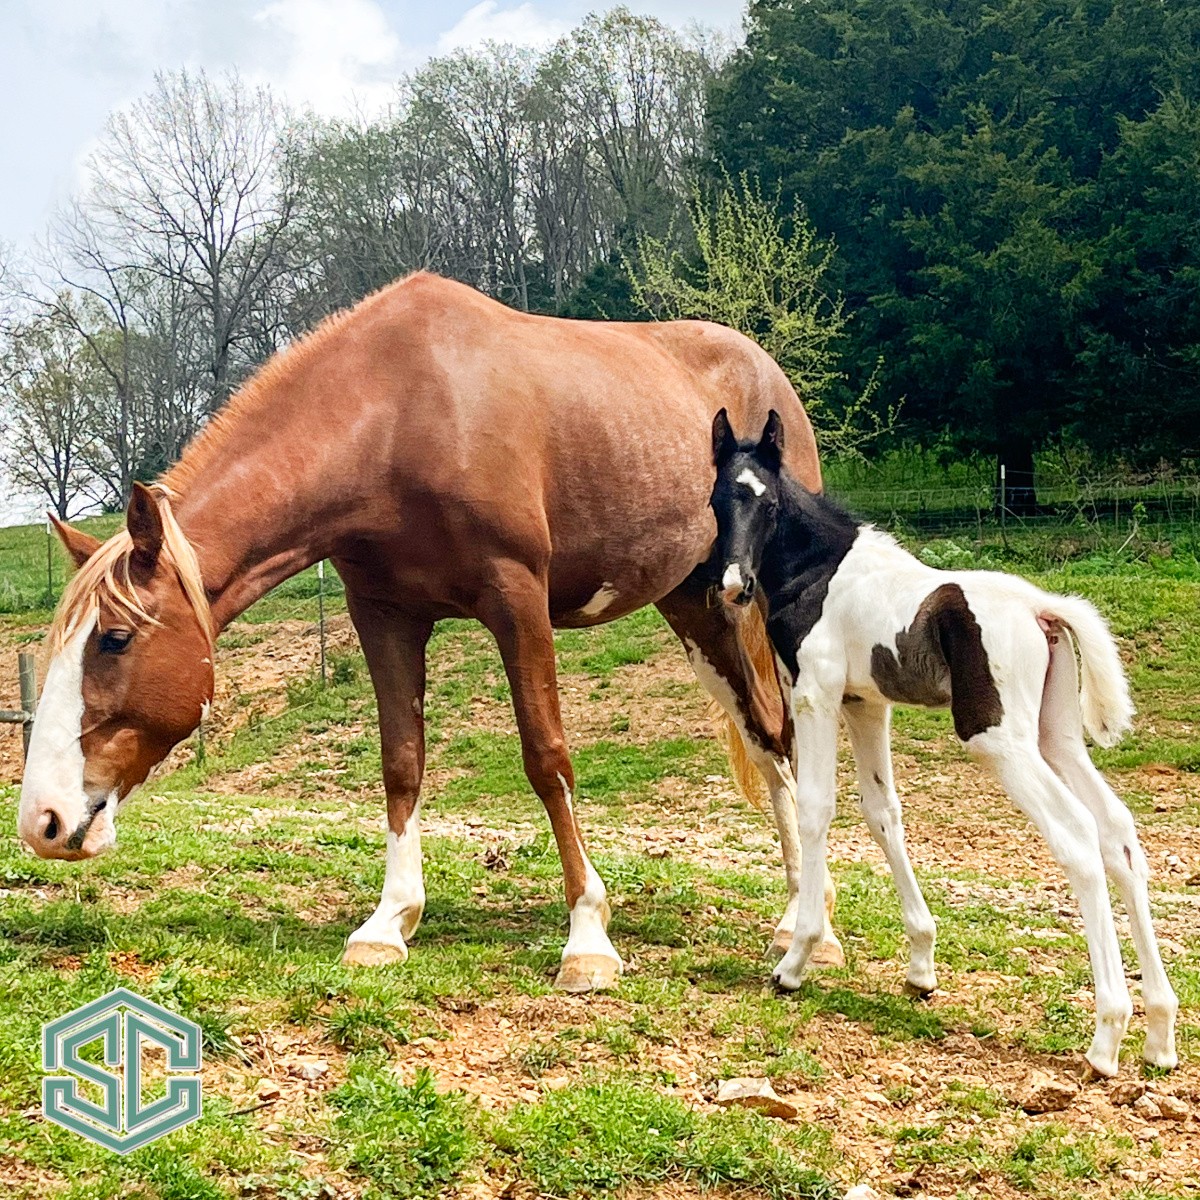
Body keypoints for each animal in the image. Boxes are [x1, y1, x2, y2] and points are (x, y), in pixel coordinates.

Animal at [16, 272, 844, 993]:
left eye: (115, 638)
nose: (42, 822)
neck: (398, 415)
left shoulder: (517, 599)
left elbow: (547, 758)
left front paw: (587, 939)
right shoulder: (384, 615)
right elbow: (401, 763)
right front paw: (389, 923)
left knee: (784, 736)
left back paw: (815, 931)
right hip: (695, 606)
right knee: (764, 737)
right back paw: (797, 916)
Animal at [704, 408, 1177, 1078]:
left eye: (767, 502)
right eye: (719, 500)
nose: (732, 585)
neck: (821, 572)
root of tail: (1042, 608)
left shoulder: (815, 694)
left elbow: (817, 807)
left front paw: (796, 961)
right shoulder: (865, 704)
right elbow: (883, 812)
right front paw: (921, 967)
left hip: (999, 739)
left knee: (1080, 837)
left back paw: (1107, 1037)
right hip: (1054, 738)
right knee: (1118, 832)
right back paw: (1160, 1034)